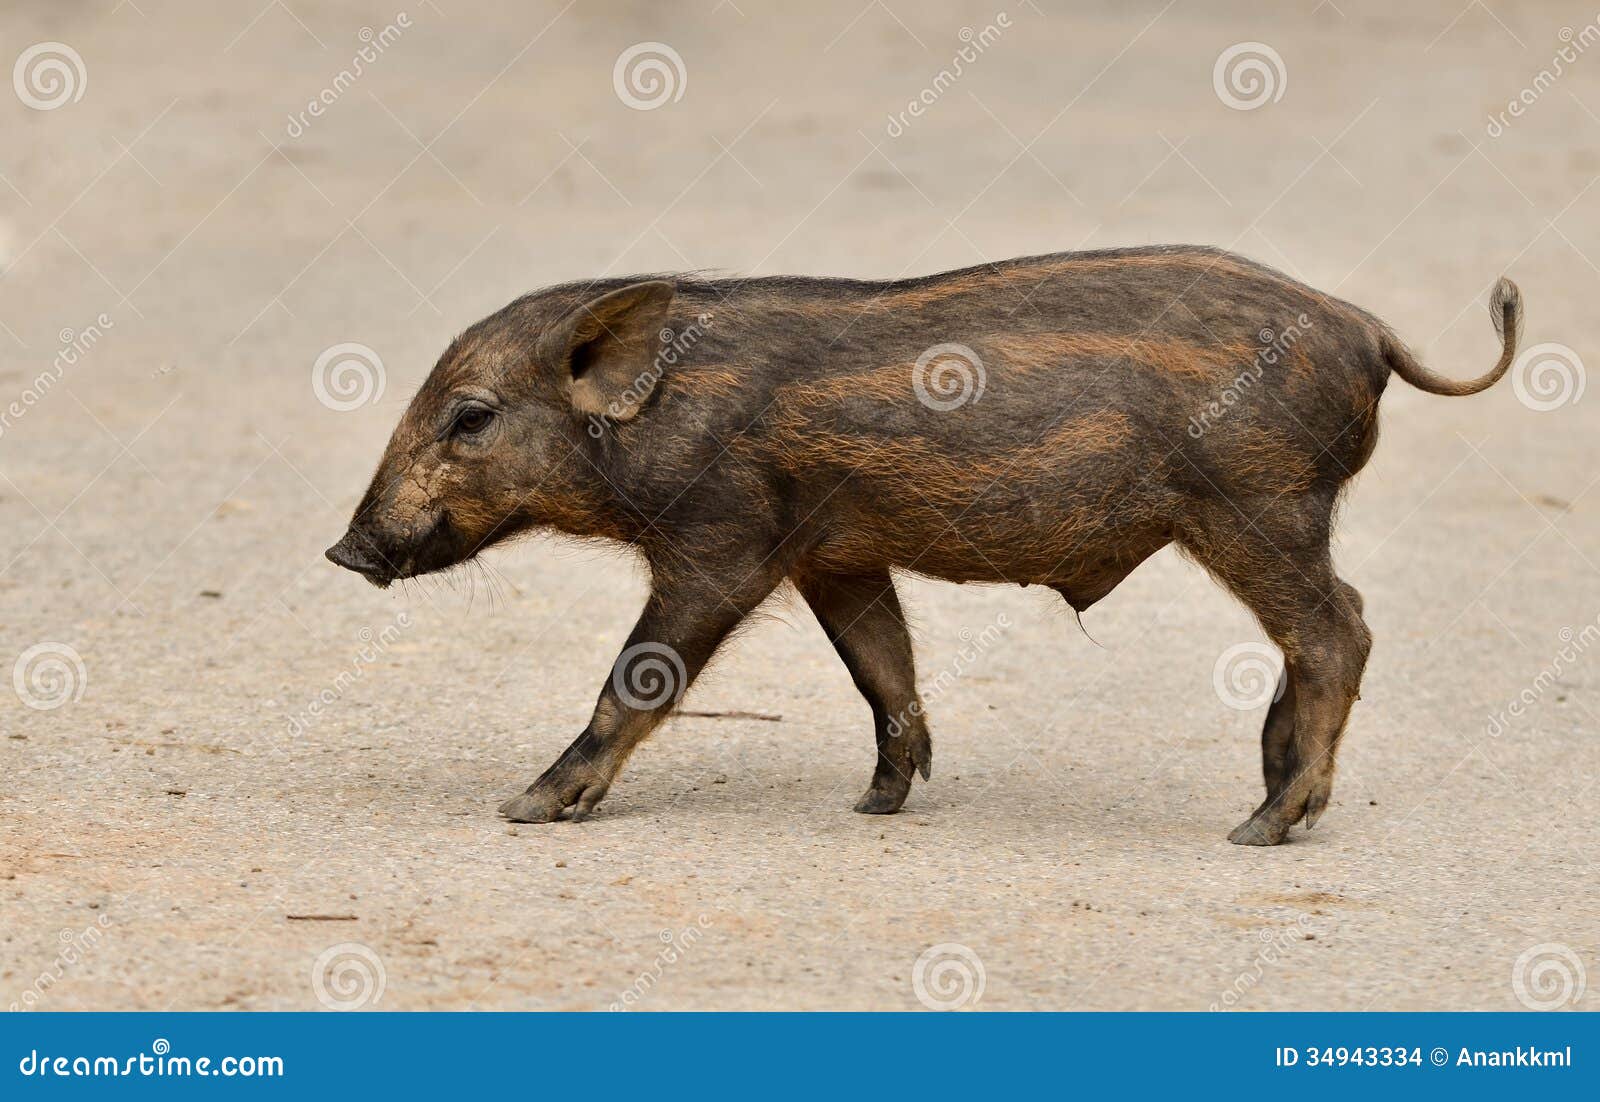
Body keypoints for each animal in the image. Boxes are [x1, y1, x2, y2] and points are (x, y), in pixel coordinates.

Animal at [325, 245, 1523, 845]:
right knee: (1318, 636)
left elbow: (640, 675)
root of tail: (1370, 332)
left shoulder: (723, 541)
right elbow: (882, 668)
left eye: (471, 416)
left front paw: (523, 809)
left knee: (1340, 627)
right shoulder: (836, 554)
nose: (346, 551)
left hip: (1256, 505)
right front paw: (876, 806)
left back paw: (1263, 825)